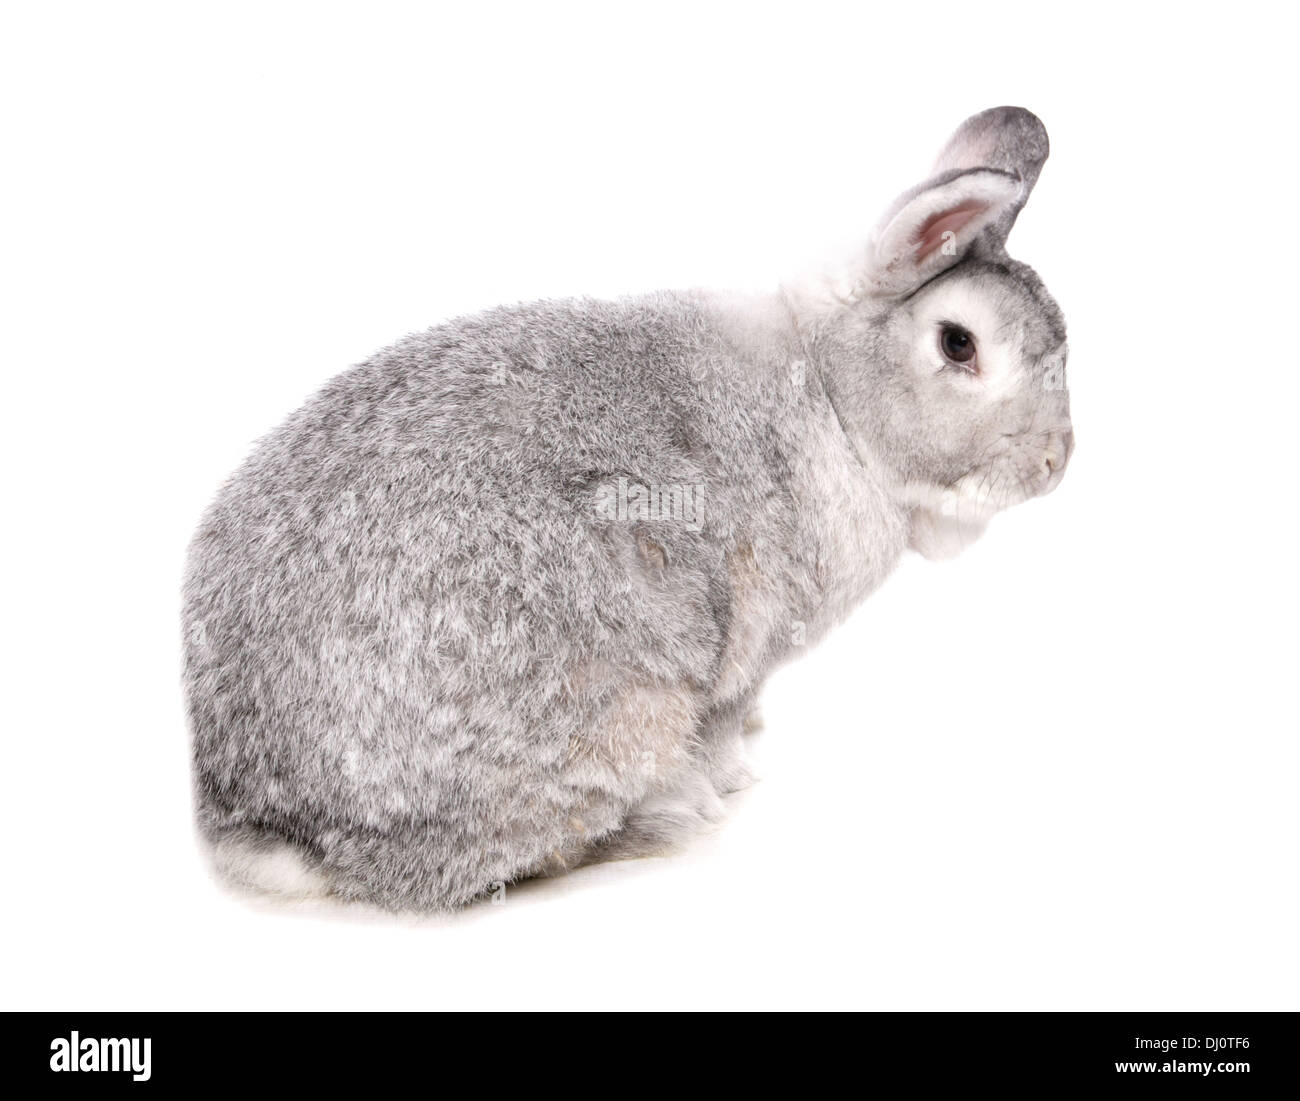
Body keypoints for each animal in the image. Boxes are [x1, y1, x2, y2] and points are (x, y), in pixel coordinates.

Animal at [183, 106, 1073, 911]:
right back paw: (667, 820)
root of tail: (269, 823)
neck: (825, 393)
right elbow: (724, 725)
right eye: (958, 344)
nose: (1056, 462)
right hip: (621, 711)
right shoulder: (746, 653)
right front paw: (730, 778)